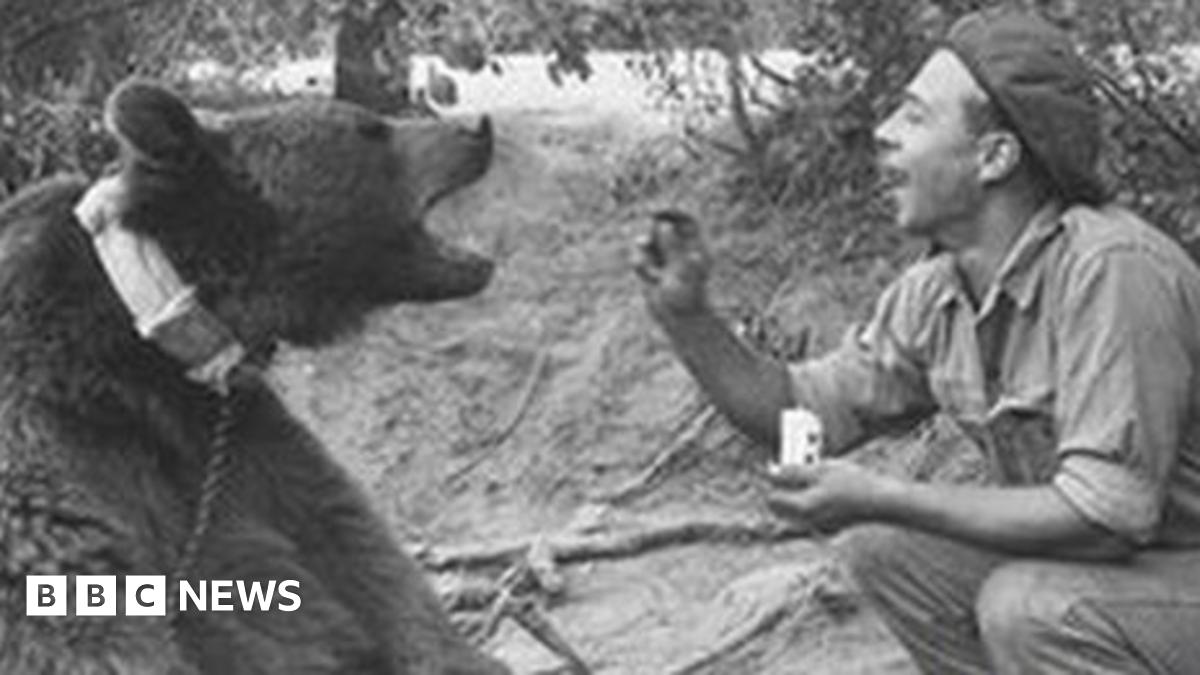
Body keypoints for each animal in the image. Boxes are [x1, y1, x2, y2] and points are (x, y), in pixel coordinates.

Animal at [0, 79, 510, 674]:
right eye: (370, 129)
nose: (477, 127)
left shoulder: (238, 437)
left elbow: (357, 555)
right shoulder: (59, 451)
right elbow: (81, 617)